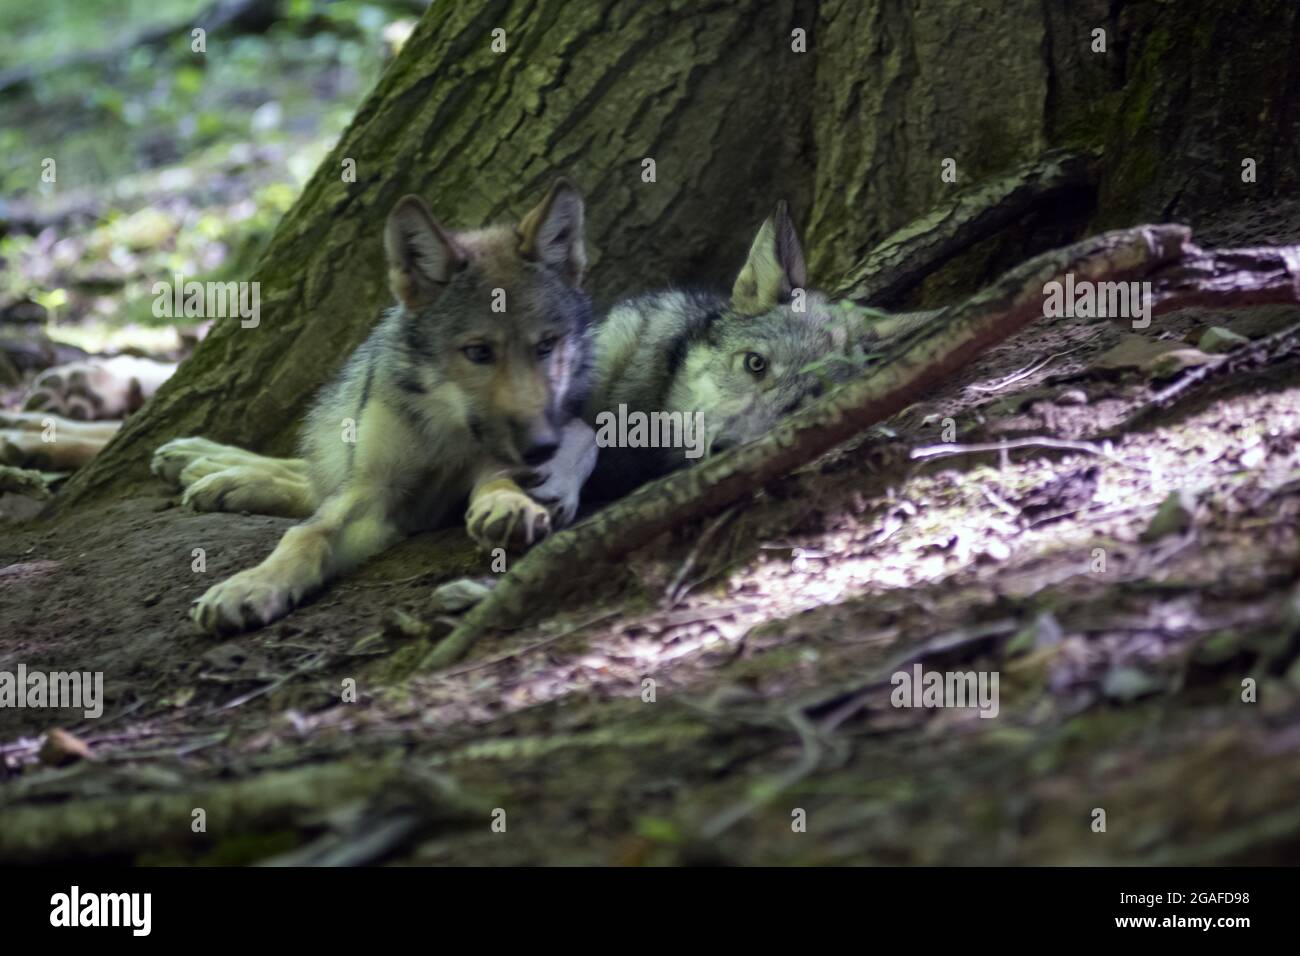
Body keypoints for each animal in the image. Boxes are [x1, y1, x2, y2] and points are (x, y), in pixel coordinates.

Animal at [153, 179, 596, 634]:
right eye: (478, 352)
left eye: (546, 346)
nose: (543, 448)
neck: (447, 429)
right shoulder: (375, 489)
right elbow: (305, 535)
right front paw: (251, 584)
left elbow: (499, 479)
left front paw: (508, 505)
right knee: (316, 480)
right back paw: (208, 465)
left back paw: (218, 473)